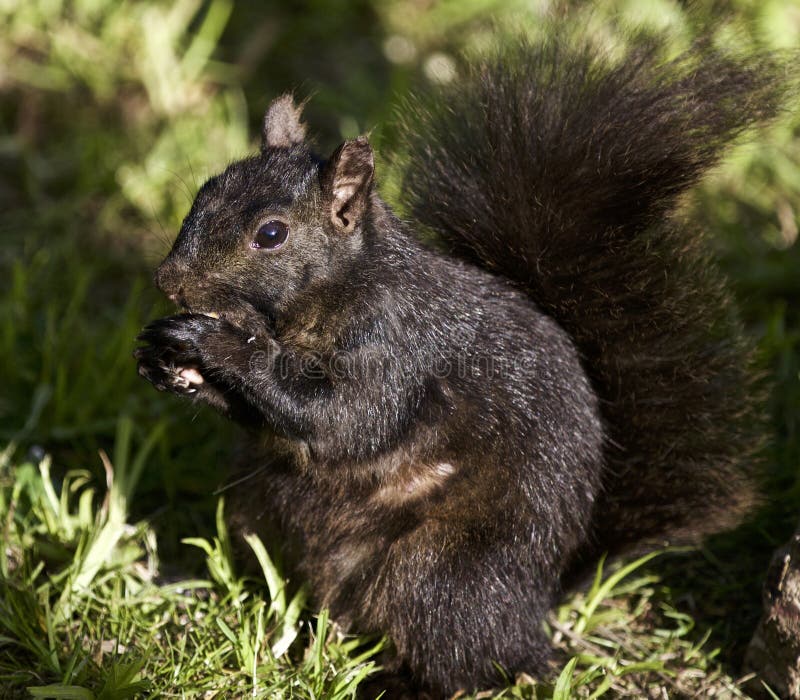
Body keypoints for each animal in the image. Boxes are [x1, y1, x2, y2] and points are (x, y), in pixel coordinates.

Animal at [134, 34, 788, 697]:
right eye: (204, 192)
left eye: (270, 234)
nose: (168, 282)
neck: (318, 301)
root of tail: (537, 602)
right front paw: (169, 362)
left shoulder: (397, 349)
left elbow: (341, 418)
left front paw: (214, 346)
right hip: (260, 510)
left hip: (443, 575)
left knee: (474, 659)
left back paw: (398, 680)